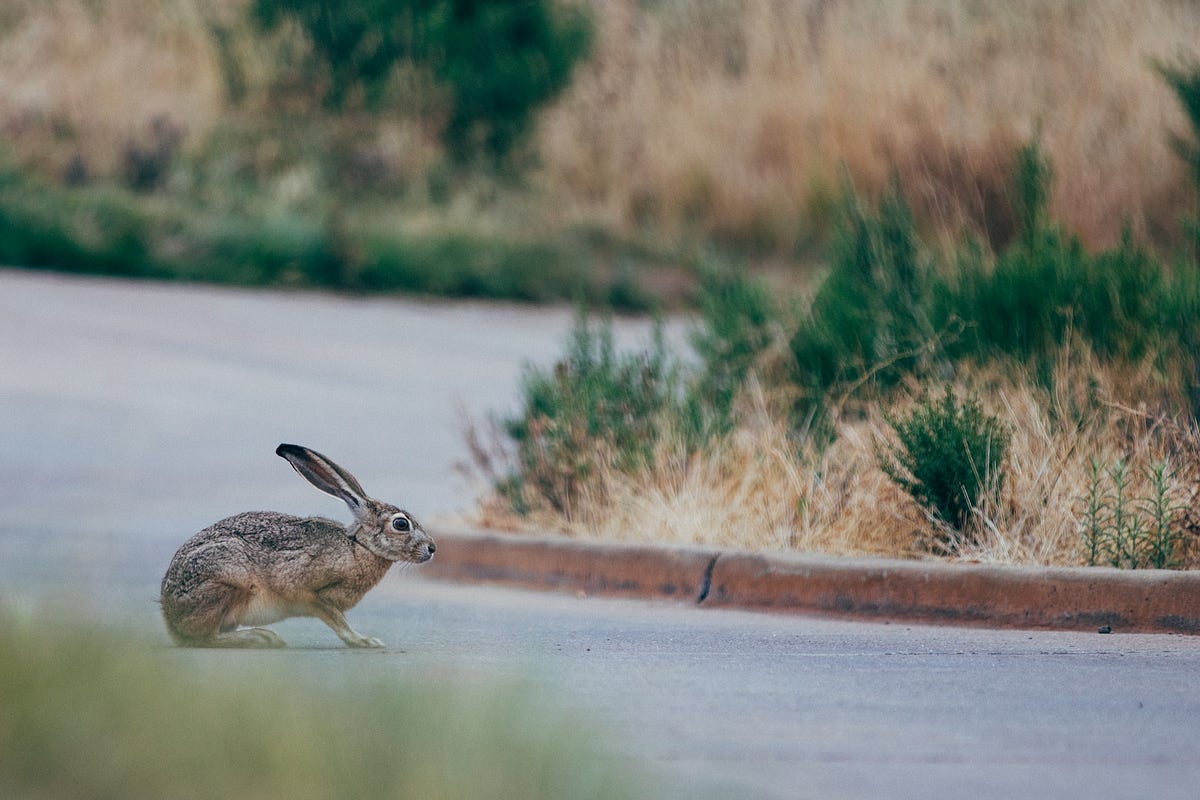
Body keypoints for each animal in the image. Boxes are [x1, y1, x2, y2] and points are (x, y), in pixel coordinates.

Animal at [160, 444, 435, 648]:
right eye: (401, 524)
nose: (432, 548)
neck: (359, 547)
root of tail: (170, 615)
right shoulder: (312, 593)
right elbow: (339, 622)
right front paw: (366, 641)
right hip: (228, 582)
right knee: (203, 637)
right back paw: (260, 637)